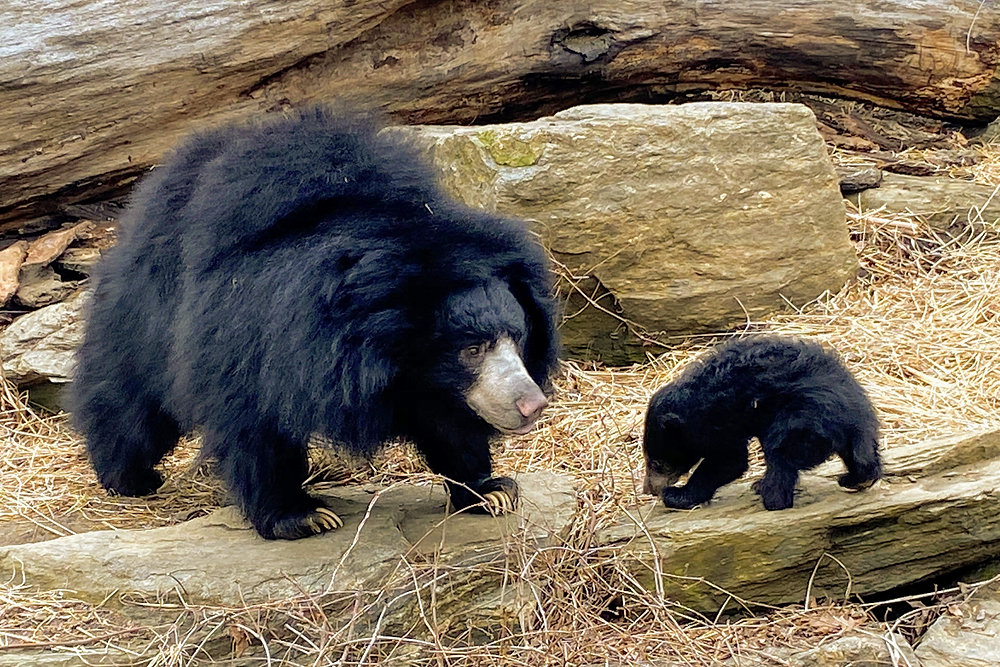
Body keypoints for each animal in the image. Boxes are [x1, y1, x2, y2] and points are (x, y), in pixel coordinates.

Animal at [70, 107, 559, 540]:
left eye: (517, 337)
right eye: (471, 349)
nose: (531, 404)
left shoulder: (429, 383)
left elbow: (452, 426)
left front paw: (490, 491)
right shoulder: (252, 333)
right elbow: (256, 421)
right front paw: (301, 517)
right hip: (146, 308)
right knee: (129, 397)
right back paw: (129, 477)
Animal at [642, 335, 881, 511]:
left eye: (657, 463)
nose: (649, 489)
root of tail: (854, 415)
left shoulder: (720, 420)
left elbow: (729, 460)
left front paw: (677, 495)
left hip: (800, 419)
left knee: (780, 456)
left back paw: (769, 494)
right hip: (852, 430)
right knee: (859, 456)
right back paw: (856, 480)